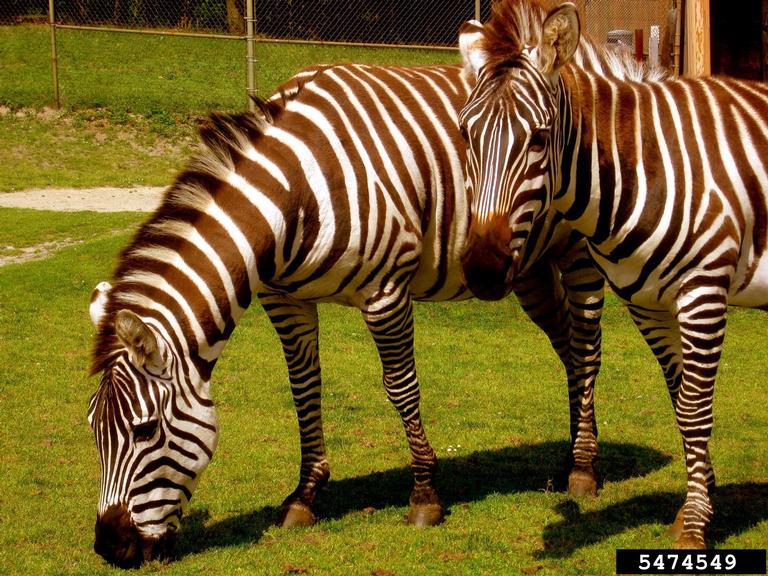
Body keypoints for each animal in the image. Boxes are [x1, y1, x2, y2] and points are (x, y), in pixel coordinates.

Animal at [85, 17, 629, 564]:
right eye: (92, 429)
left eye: (145, 430)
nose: (110, 546)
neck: (296, 194)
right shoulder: (285, 299)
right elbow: (304, 388)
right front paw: (305, 496)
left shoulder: (385, 293)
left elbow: (401, 388)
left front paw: (425, 496)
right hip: (525, 267)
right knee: (567, 348)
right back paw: (570, 457)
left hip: (579, 251)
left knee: (586, 350)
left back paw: (584, 469)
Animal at [458, 0, 768, 549]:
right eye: (464, 134)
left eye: (539, 139)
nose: (483, 271)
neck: (642, 166)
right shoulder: (646, 302)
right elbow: (680, 400)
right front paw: (703, 498)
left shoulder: (704, 291)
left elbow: (695, 408)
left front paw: (694, 525)